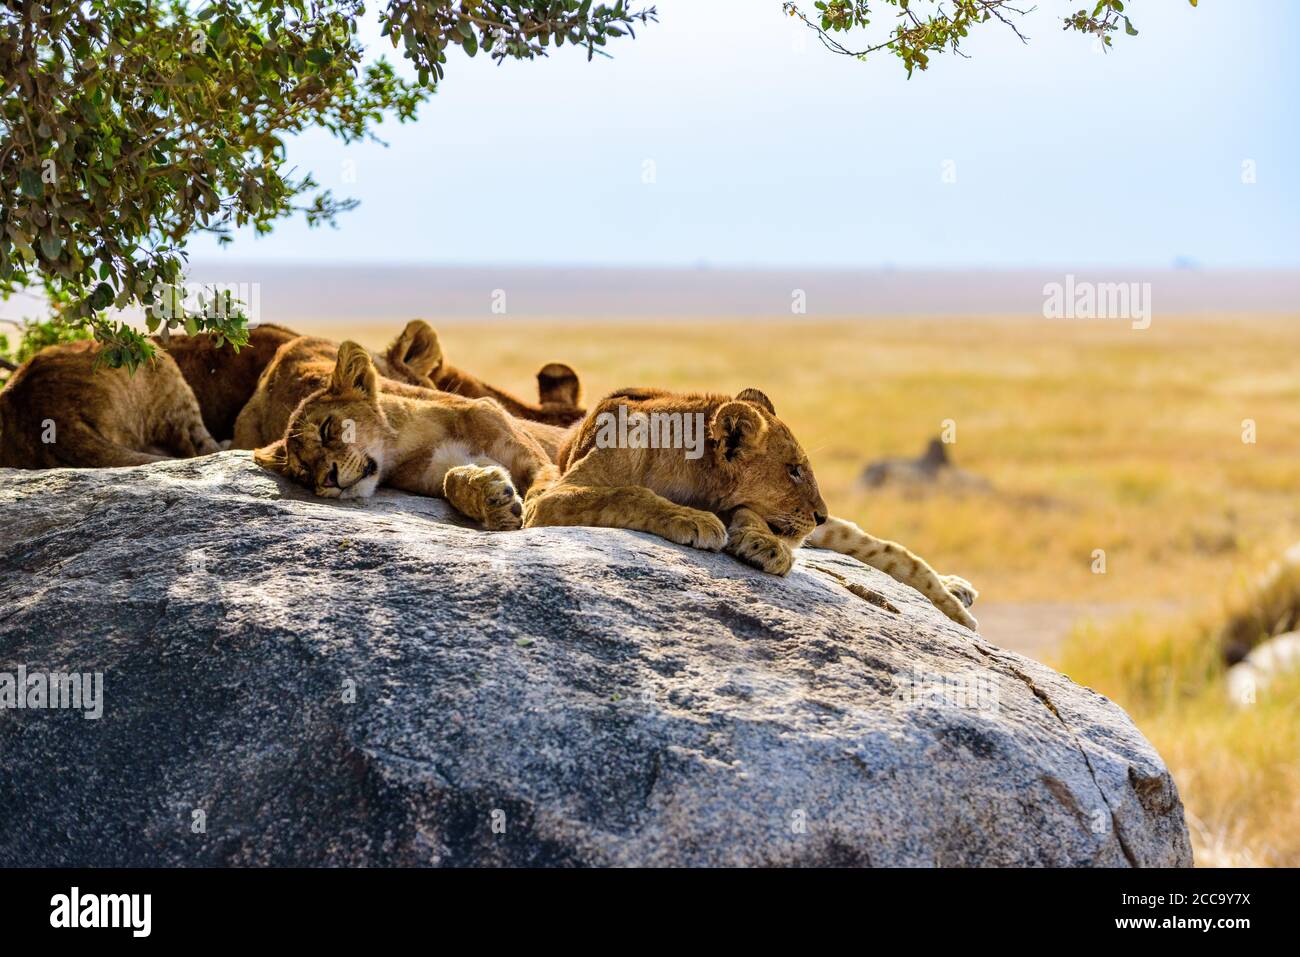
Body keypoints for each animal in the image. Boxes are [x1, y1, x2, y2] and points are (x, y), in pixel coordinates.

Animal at [253, 342, 558, 530]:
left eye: (327, 429)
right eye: (302, 471)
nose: (328, 480)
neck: (418, 443)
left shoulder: (536, 460)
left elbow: (542, 485)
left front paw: (530, 511)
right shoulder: (431, 478)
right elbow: (452, 480)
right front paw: (493, 500)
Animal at [523, 386, 979, 629]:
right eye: (794, 470)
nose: (820, 515)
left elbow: (750, 515)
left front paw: (763, 546)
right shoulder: (545, 501)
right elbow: (628, 494)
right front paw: (693, 521)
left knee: (892, 552)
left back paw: (957, 600)